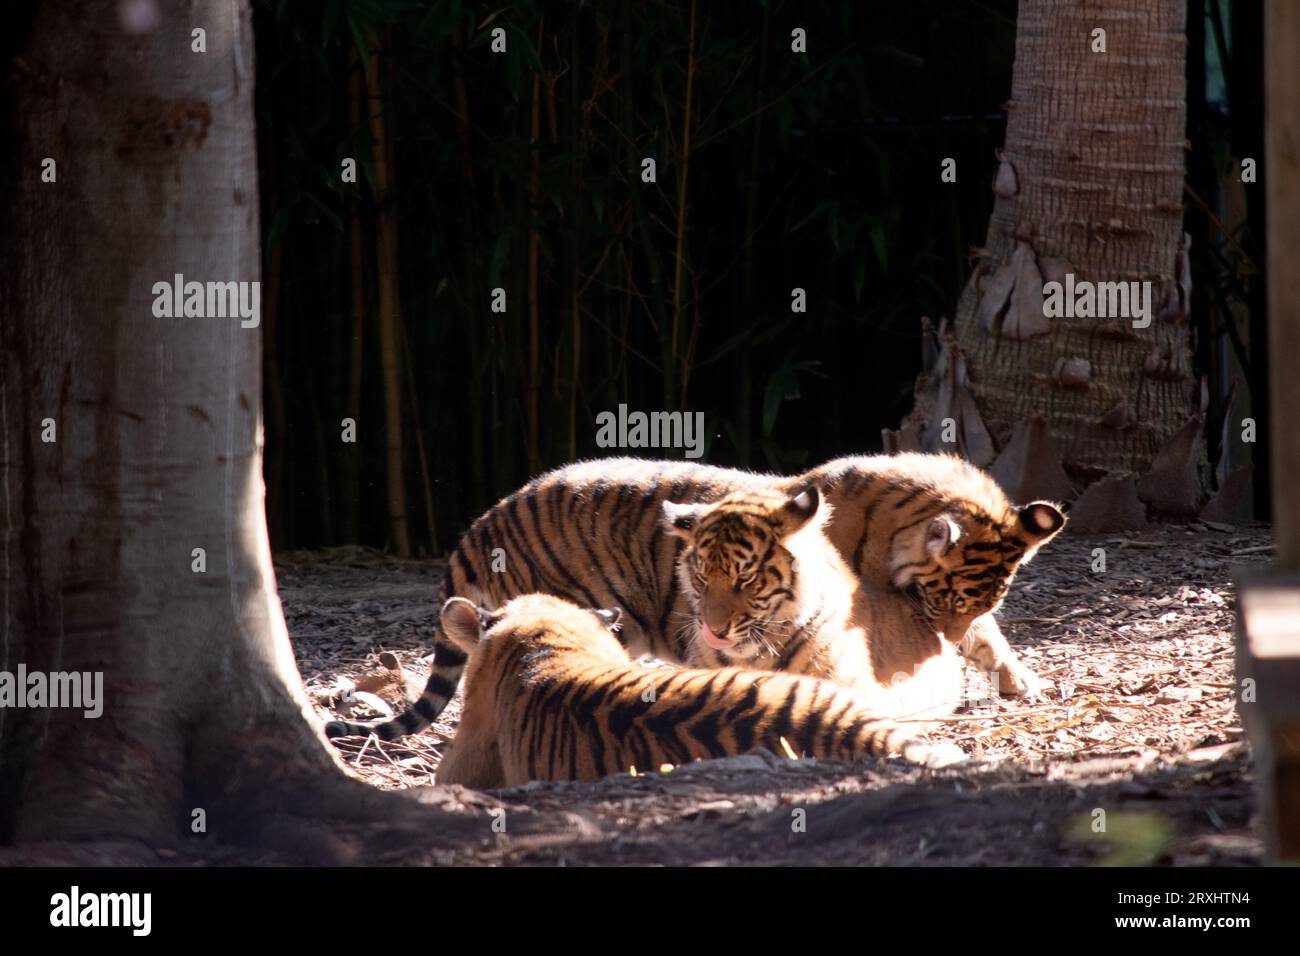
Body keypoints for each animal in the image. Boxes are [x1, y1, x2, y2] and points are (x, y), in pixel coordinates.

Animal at [324, 453, 1063, 743]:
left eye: (976, 603)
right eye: (942, 601)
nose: (943, 635)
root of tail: (479, 527)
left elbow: (992, 641)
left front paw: (1022, 682)